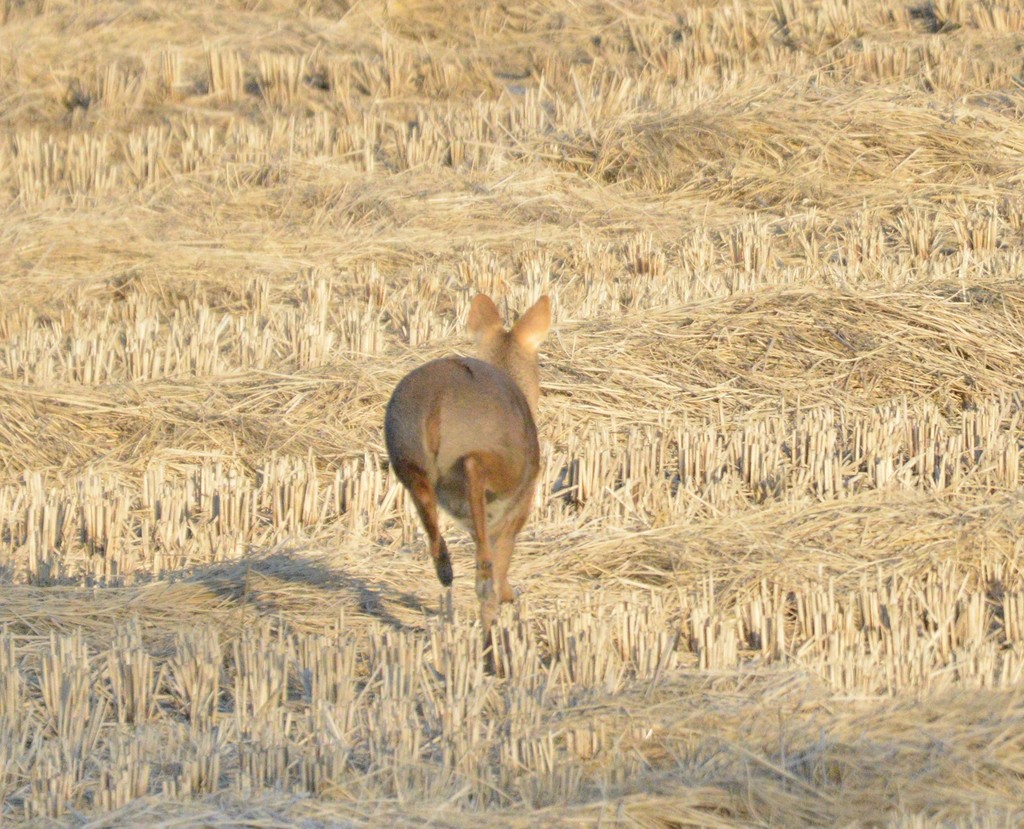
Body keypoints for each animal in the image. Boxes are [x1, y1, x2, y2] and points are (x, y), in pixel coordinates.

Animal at [384, 294, 551, 668]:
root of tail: (437, 401)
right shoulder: (517, 507)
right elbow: (501, 558)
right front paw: (508, 596)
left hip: (403, 450)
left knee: (430, 516)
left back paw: (445, 570)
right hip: (491, 461)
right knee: (484, 569)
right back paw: (492, 654)